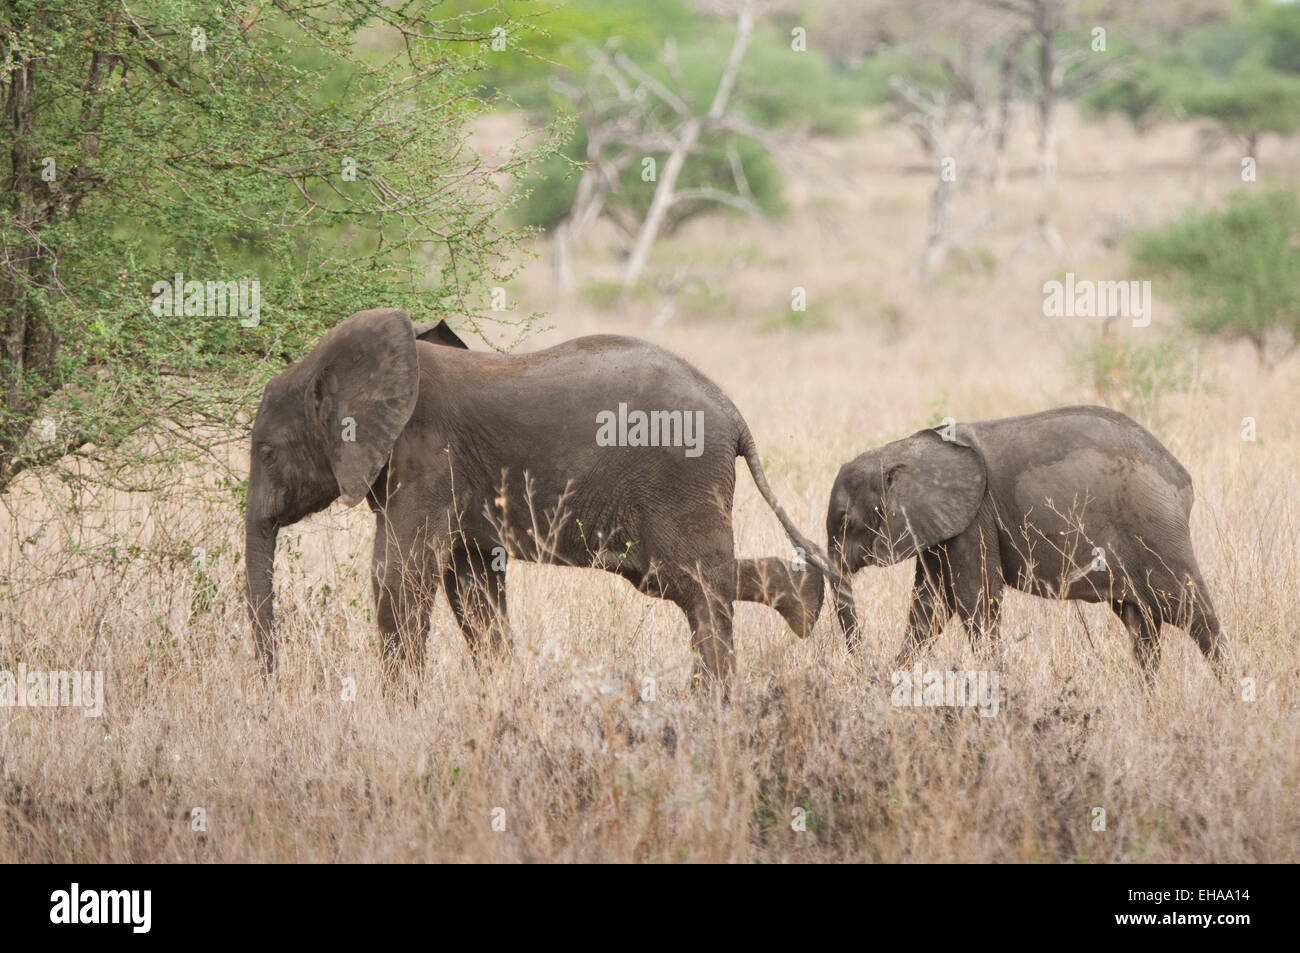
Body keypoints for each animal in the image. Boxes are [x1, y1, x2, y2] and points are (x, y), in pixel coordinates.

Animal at [245, 308, 833, 685]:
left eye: (267, 454)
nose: (273, 686)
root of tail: (733, 413)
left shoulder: (425, 457)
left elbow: (399, 573)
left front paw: (401, 714)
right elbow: (472, 586)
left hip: (680, 476)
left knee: (691, 583)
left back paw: (716, 701)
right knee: (683, 578)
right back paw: (804, 603)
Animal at [825, 405, 1224, 683]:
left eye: (846, 521)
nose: (870, 673)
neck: (905, 449)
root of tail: (1181, 479)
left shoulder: (975, 517)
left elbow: (976, 598)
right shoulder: (941, 524)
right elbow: (932, 606)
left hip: (1155, 528)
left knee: (1192, 612)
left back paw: (1229, 694)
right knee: (1143, 628)